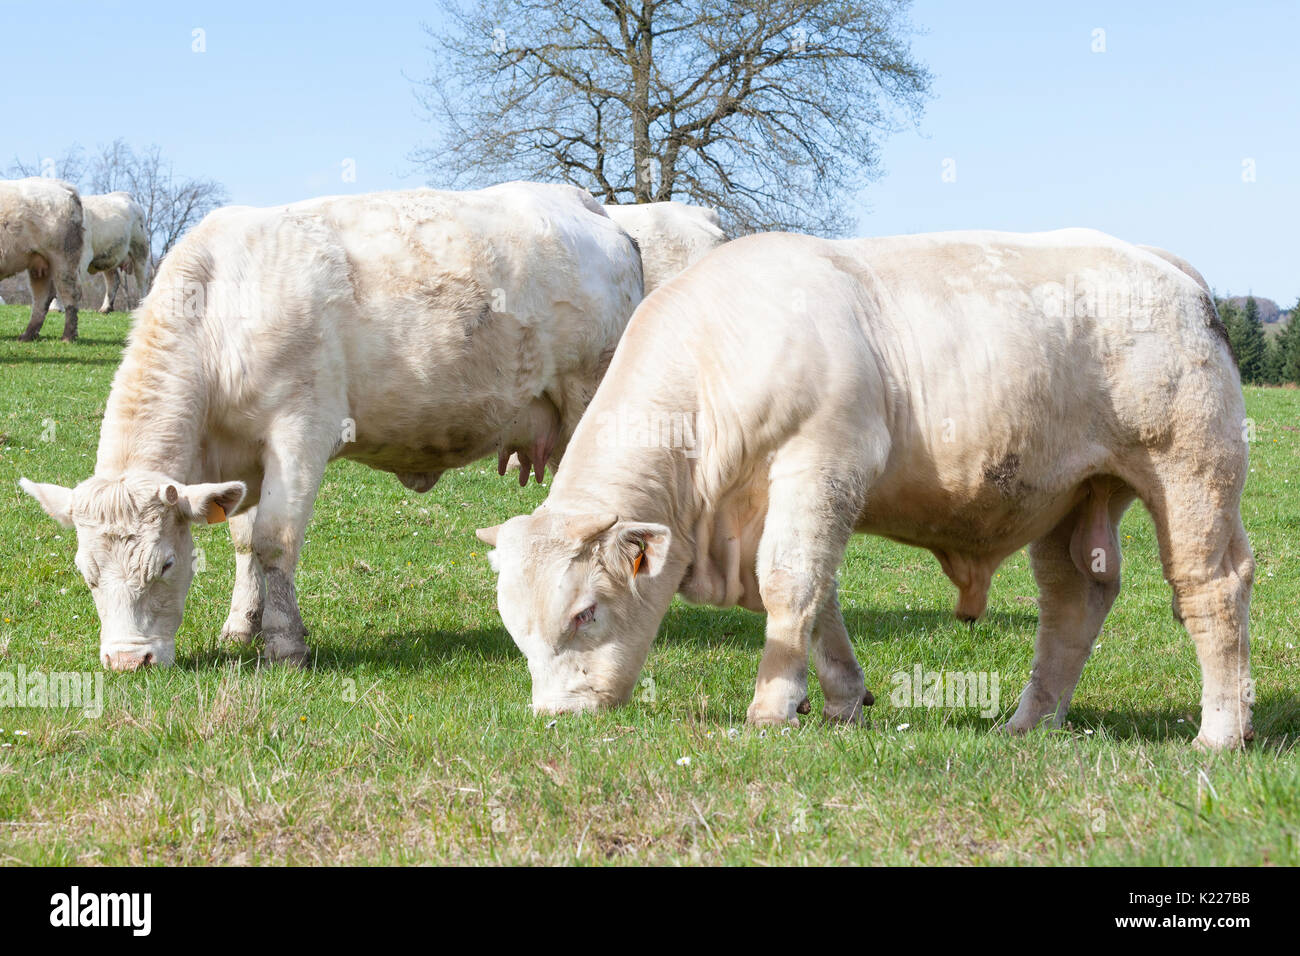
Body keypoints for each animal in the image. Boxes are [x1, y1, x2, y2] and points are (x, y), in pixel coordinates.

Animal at [0, 177, 84, 342]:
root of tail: (63, 186)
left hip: (63, 257)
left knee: (70, 292)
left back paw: (67, 337)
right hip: (40, 263)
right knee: (43, 297)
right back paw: (28, 335)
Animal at [21, 182, 643, 671]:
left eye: (166, 565)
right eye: (86, 573)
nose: (129, 661)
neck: (220, 313)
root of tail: (593, 208)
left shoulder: (300, 432)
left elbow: (274, 540)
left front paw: (284, 644)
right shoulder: (242, 460)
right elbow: (244, 541)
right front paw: (240, 627)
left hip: (593, 399)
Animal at [476, 229, 1255, 751]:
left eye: (585, 612)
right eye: (515, 626)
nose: (555, 715)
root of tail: (1167, 266)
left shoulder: (824, 463)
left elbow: (791, 583)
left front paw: (772, 707)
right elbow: (816, 598)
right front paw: (842, 700)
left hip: (1190, 469)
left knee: (1211, 587)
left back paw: (1220, 733)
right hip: (1076, 491)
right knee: (1075, 598)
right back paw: (1029, 723)